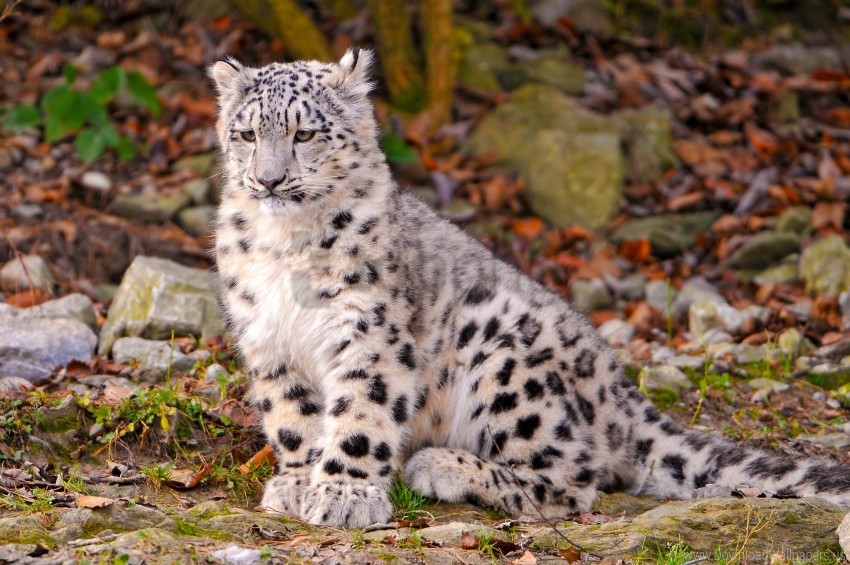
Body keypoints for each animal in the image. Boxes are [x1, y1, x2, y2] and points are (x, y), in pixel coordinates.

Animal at [210, 48, 850, 529]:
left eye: (305, 133)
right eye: (246, 133)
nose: (268, 179)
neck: (287, 246)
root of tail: (621, 392)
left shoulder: (369, 332)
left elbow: (361, 414)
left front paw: (344, 496)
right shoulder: (268, 337)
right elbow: (293, 417)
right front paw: (297, 483)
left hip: (503, 356)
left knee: (571, 481)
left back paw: (442, 468)